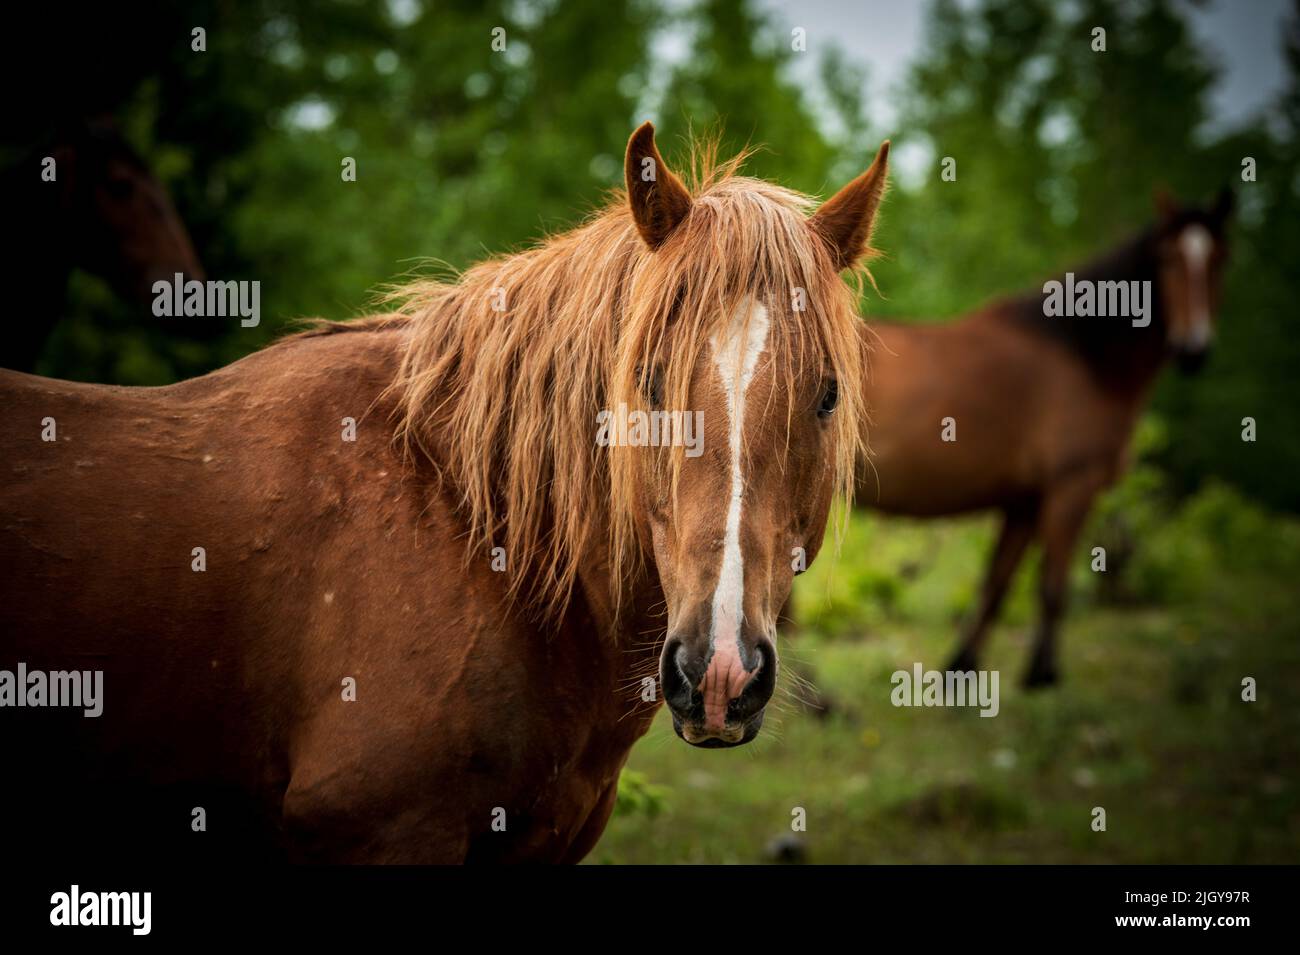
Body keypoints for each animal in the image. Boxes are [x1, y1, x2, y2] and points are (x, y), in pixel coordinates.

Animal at [857, 190, 1232, 687]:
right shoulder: (1071, 485)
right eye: (1169, 259)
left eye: (1220, 260)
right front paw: (1042, 673)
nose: (1194, 350)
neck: (1083, 356)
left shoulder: (1023, 502)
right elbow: (1053, 586)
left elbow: (997, 585)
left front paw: (962, 666)